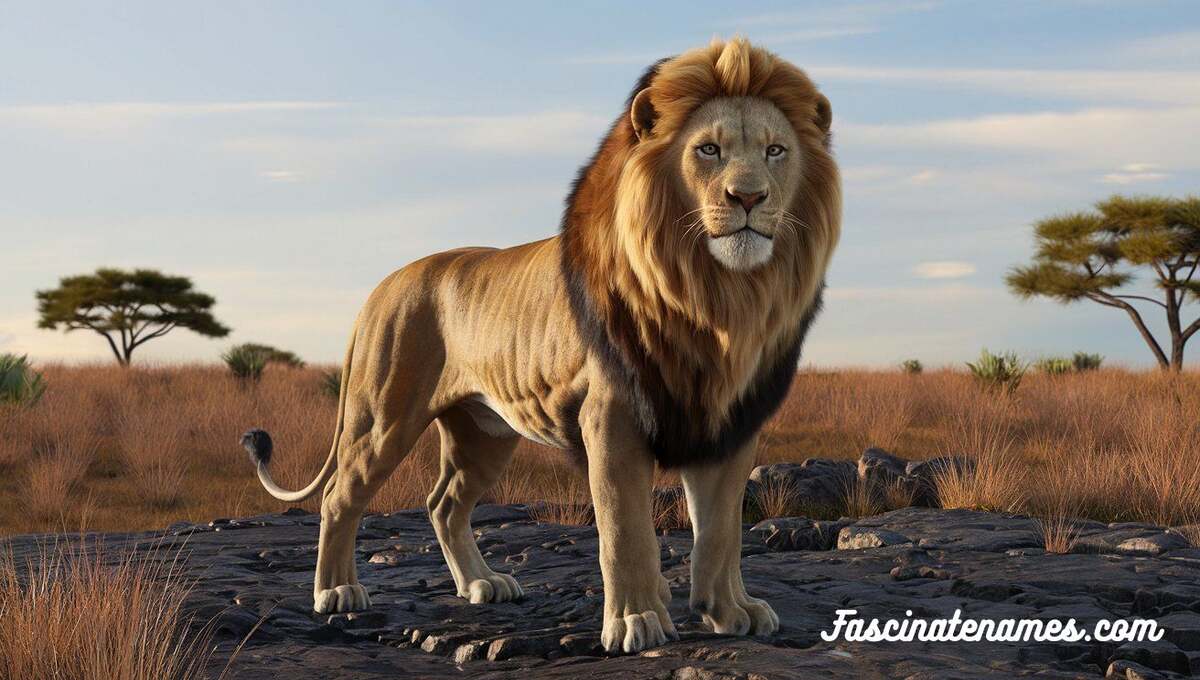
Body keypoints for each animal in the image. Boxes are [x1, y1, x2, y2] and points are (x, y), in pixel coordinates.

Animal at [242, 37, 840, 654]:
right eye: (708, 150)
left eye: (775, 151)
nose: (749, 197)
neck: (717, 297)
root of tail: (381, 287)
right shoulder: (611, 420)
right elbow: (626, 530)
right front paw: (637, 621)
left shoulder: (730, 423)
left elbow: (721, 532)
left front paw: (731, 610)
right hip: (383, 416)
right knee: (340, 495)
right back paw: (336, 592)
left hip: (483, 433)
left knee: (444, 504)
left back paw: (482, 584)